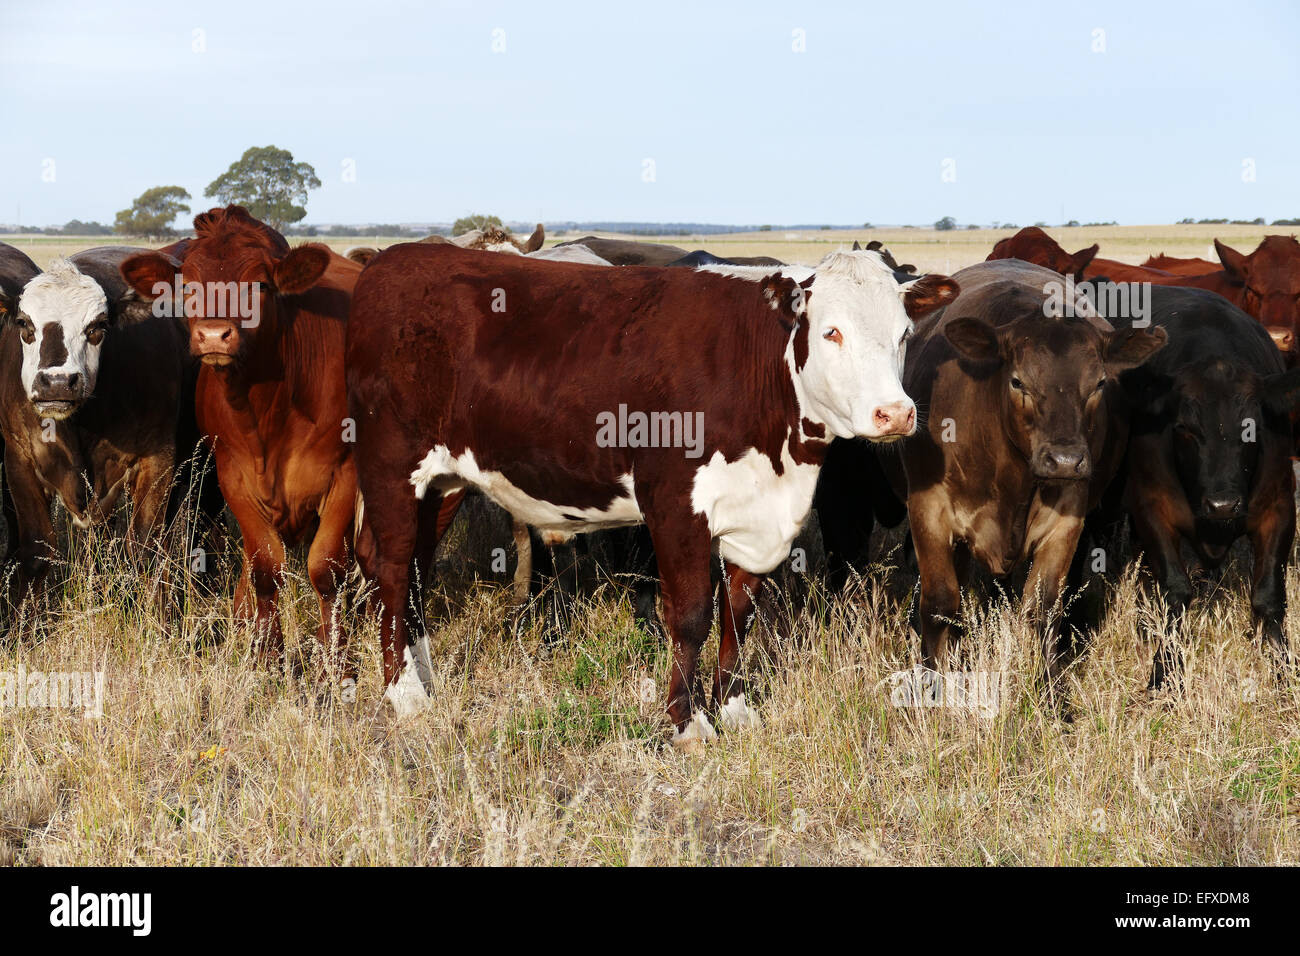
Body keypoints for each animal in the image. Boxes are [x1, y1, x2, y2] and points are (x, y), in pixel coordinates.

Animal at [0, 245, 211, 609]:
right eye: (24, 323)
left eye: (97, 326)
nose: (58, 382)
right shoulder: (19, 461)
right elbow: (36, 555)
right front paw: (25, 620)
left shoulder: (158, 462)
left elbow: (146, 551)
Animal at [119, 206, 362, 678]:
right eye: (189, 287)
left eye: (260, 285)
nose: (215, 335)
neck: (268, 408)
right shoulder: (233, 475)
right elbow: (265, 566)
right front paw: (266, 655)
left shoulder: (345, 475)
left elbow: (327, 569)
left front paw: (336, 662)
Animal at [346, 243, 958, 746]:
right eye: (831, 332)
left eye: (903, 335)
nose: (895, 413)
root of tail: (393, 260)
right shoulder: (673, 504)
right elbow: (690, 614)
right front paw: (687, 723)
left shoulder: (760, 515)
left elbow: (740, 610)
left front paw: (735, 709)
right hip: (392, 464)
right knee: (391, 566)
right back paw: (403, 693)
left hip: (442, 481)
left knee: (415, 567)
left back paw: (424, 675)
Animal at [889, 259, 1166, 691]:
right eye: (1018, 380)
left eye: (1099, 383)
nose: (1065, 460)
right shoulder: (927, 509)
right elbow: (939, 604)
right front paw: (934, 684)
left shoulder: (1067, 517)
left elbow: (1044, 606)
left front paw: (1050, 689)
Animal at [1107, 284, 1299, 688]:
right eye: (1184, 428)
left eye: (1251, 428)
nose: (1222, 505)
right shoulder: (1152, 508)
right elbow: (1175, 590)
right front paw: (1165, 671)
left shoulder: (1279, 508)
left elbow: (1269, 594)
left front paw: (1283, 668)